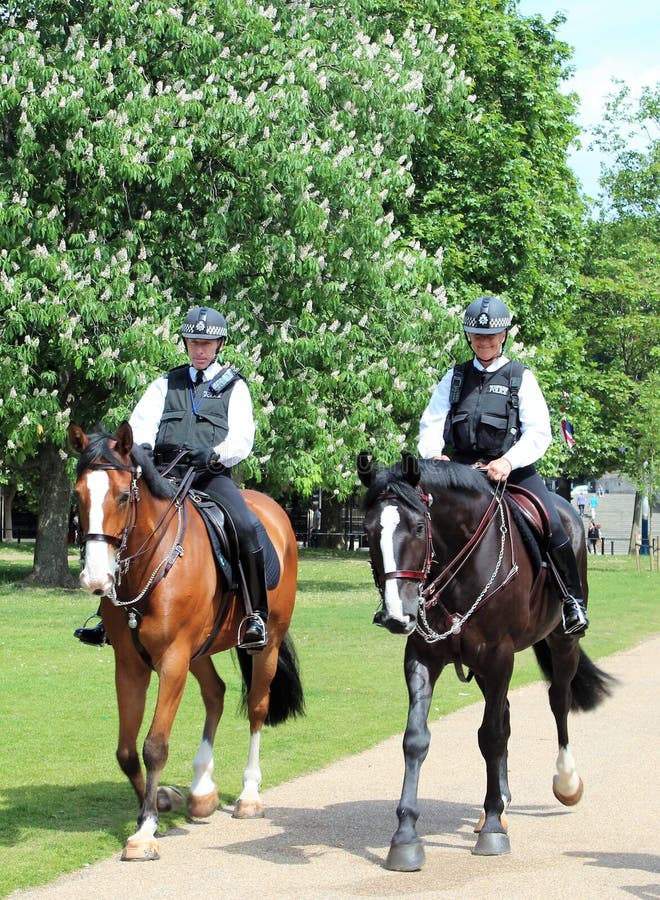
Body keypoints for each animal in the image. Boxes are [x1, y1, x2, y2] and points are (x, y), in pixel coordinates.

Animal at [68, 422, 304, 861]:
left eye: (123, 495)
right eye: (78, 495)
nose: (95, 578)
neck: (150, 564)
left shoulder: (173, 660)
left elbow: (154, 746)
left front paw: (144, 831)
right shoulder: (131, 665)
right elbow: (126, 751)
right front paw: (161, 800)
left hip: (265, 644)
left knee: (257, 708)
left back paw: (249, 795)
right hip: (199, 652)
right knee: (215, 693)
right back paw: (202, 790)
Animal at [358, 451, 614, 870]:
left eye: (417, 527)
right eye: (367, 531)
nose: (396, 615)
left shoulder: (498, 655)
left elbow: (491, 736)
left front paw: (493, 827)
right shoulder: (424, 657)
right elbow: (416, 739)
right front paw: (406, 836)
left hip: (561, 643)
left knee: (558, 701)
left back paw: (564, 781)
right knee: (506, 714)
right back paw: (502, 799)